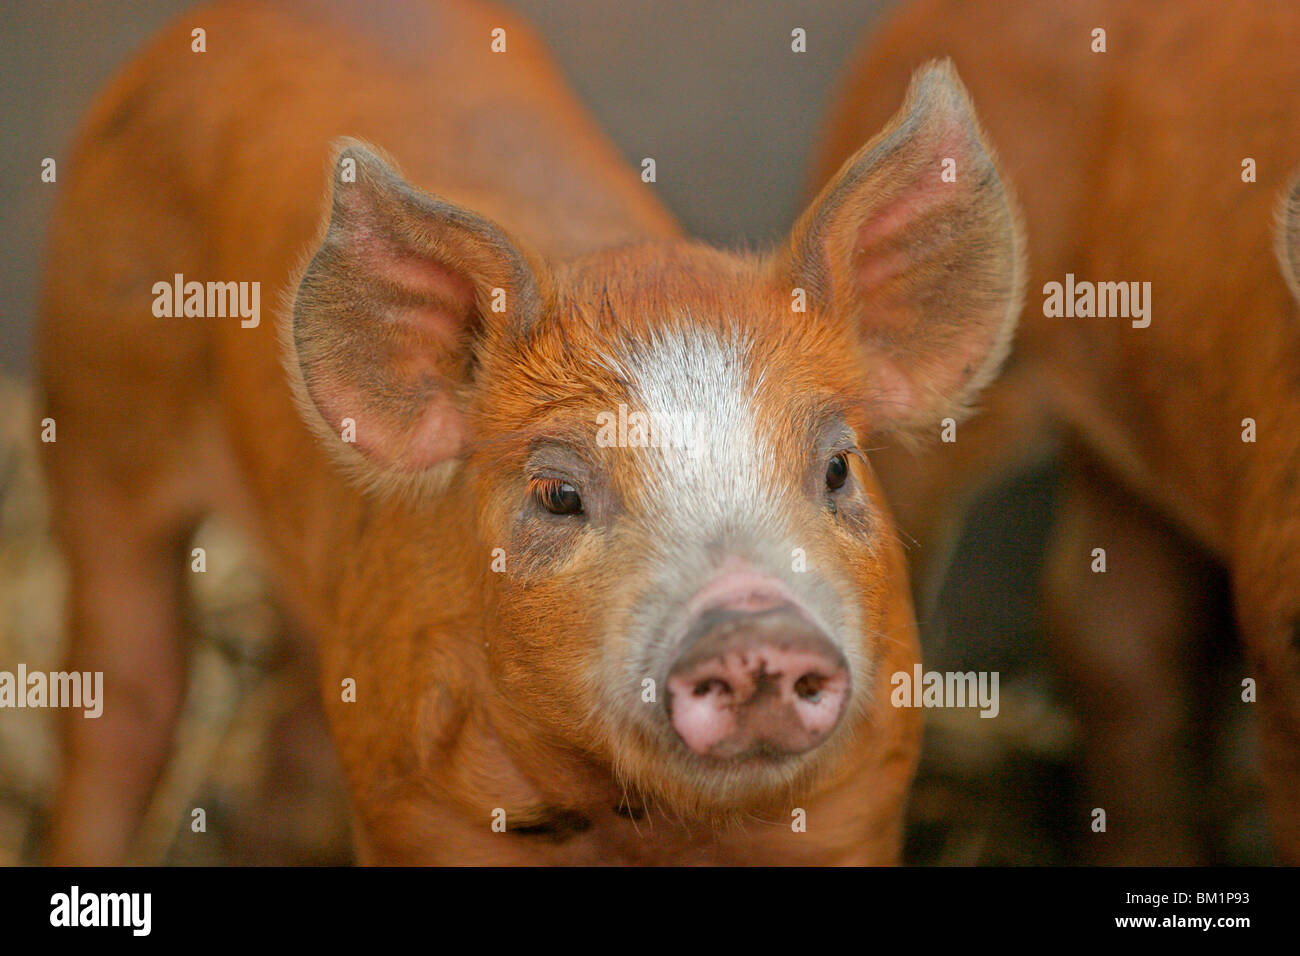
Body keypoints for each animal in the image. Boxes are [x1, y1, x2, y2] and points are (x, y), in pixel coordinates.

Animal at [38, 0, 1023, 864]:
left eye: (838, 468)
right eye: (557, 493)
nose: (753, 626)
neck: (656, 831)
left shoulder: (865, 796)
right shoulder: (418, 811)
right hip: (96, 404)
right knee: (123, 699)